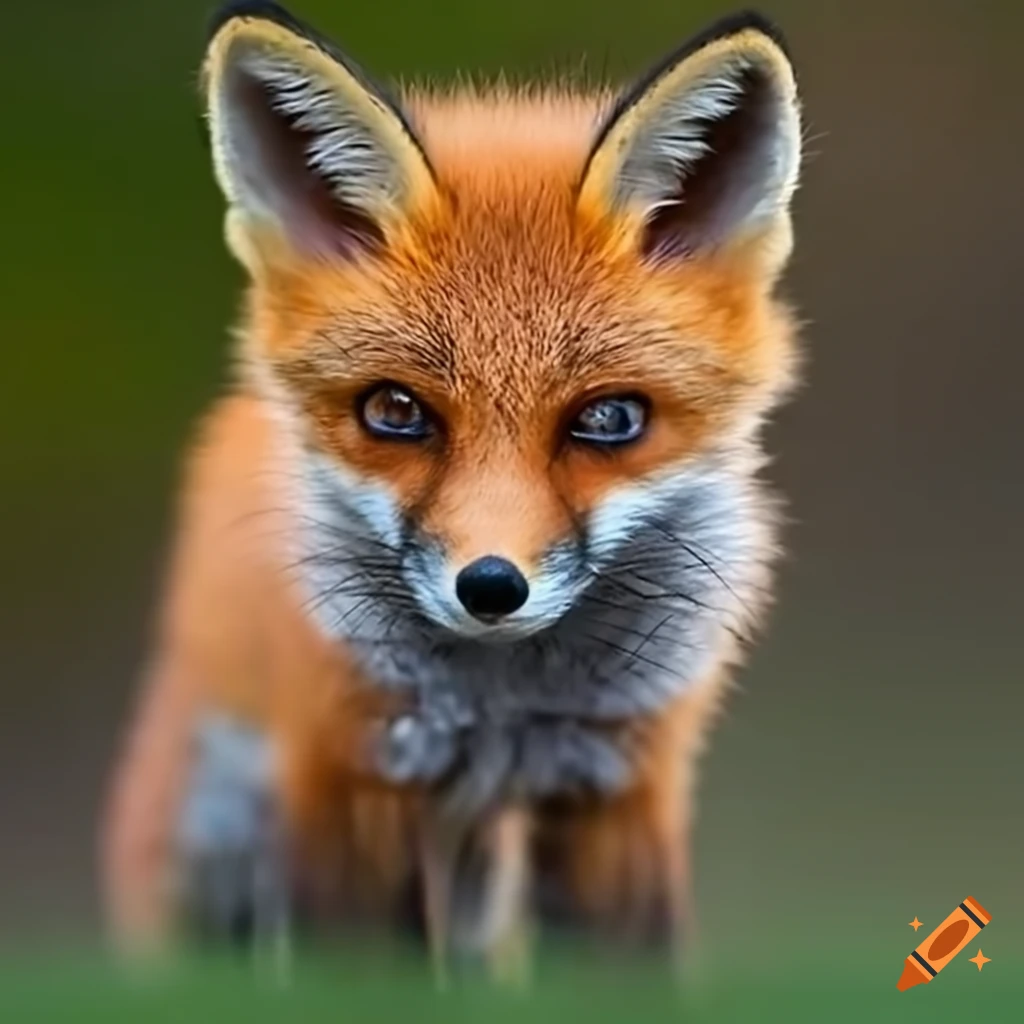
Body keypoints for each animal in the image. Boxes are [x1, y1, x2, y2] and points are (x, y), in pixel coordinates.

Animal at [100, 0, 804, 983]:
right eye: (396, 410)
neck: (502, 706)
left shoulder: (616, 791)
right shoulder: (348, 779)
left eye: (609, 418)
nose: (492, 587)